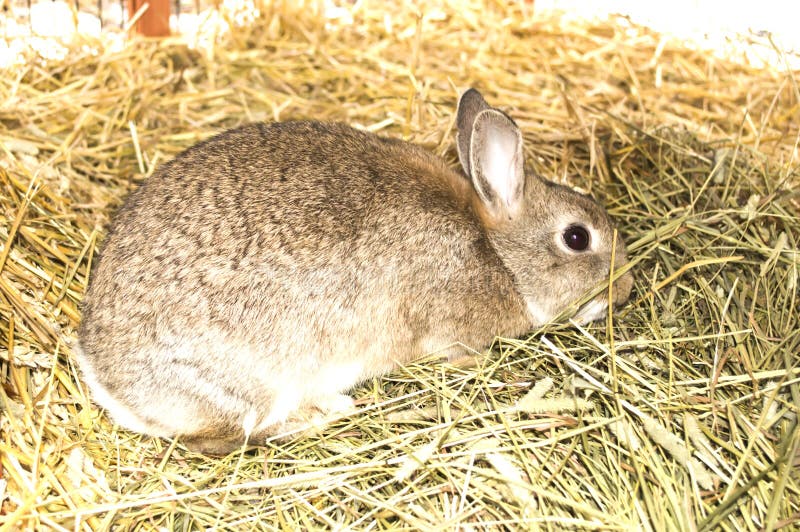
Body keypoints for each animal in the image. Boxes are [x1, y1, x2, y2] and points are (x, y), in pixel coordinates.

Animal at [76, 88, 633, 455]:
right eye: (577, 237)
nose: (625, 288)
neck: (499, 252)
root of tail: (104, 375)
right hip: (249, 385)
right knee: (226, 437)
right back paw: (324, 413)